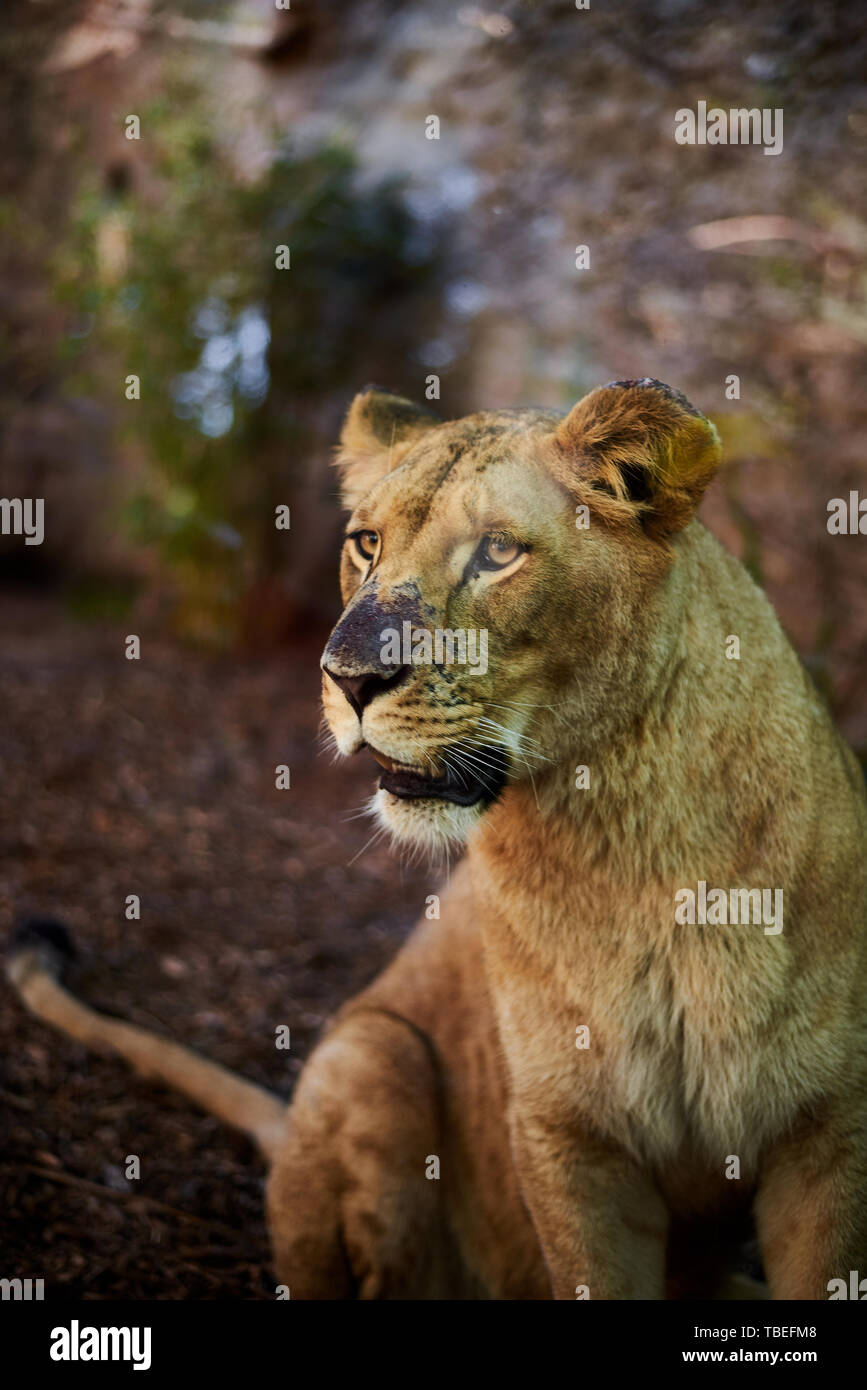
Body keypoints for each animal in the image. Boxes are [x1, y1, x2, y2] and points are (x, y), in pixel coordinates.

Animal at [11, 376, 861, 1299]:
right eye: (366, 543)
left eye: (497, 552)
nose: (346, 680)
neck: (623, 843)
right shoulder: (566, 1139)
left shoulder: (829, 1138)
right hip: (368, 1051)